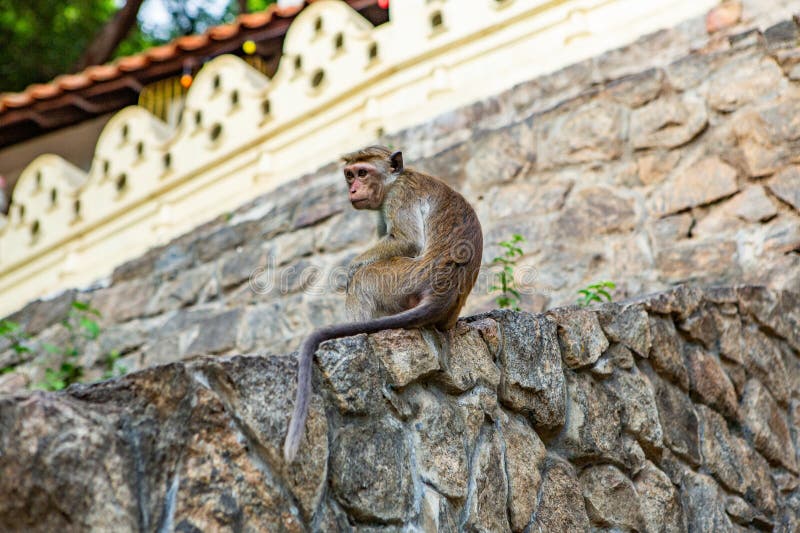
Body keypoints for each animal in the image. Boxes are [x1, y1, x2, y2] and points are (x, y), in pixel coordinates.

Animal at [283, 146, 483, 463]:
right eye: (349, 175)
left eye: (363, 173)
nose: (353, 189)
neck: (393, 181)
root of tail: (440, 291)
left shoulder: (399, 198)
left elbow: (406, 241)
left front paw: (351, 267)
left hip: (400, 281)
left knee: (365, 279)